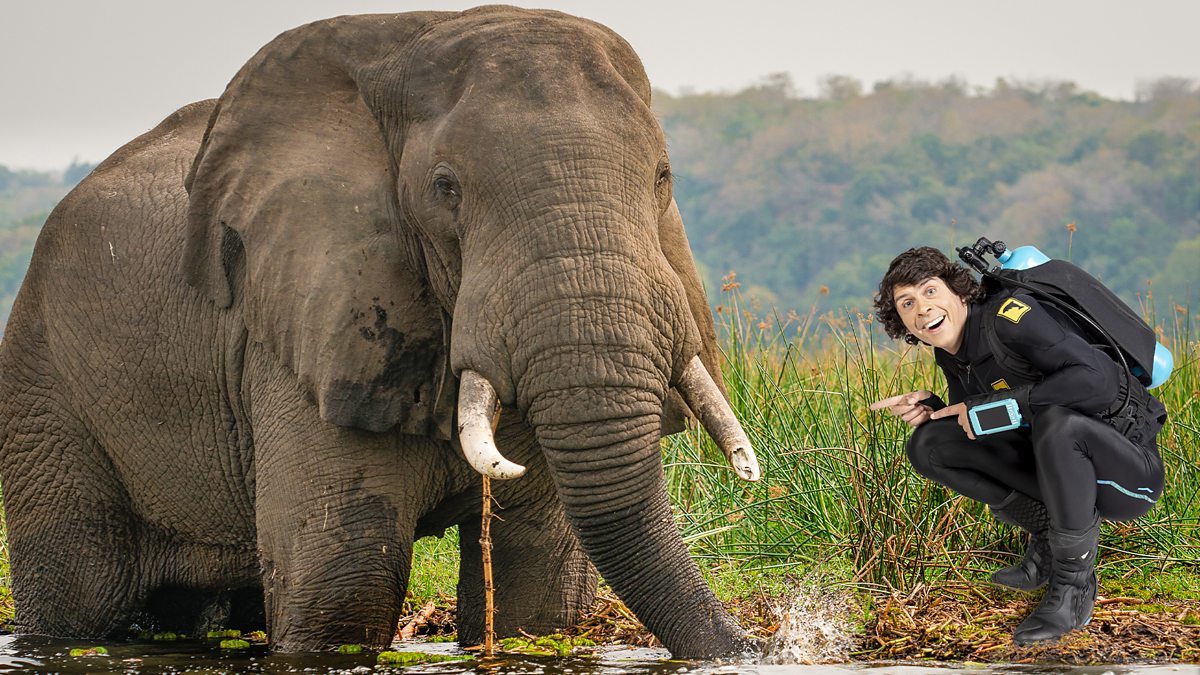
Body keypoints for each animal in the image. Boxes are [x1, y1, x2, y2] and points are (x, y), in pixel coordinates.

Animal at [0, 5, 762, 659]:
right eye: (446, 188)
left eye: (662, 177)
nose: (758, 649)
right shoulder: (304, 323)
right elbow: (345, 579)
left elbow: (537, 588)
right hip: (43, 396)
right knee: (79, 591)